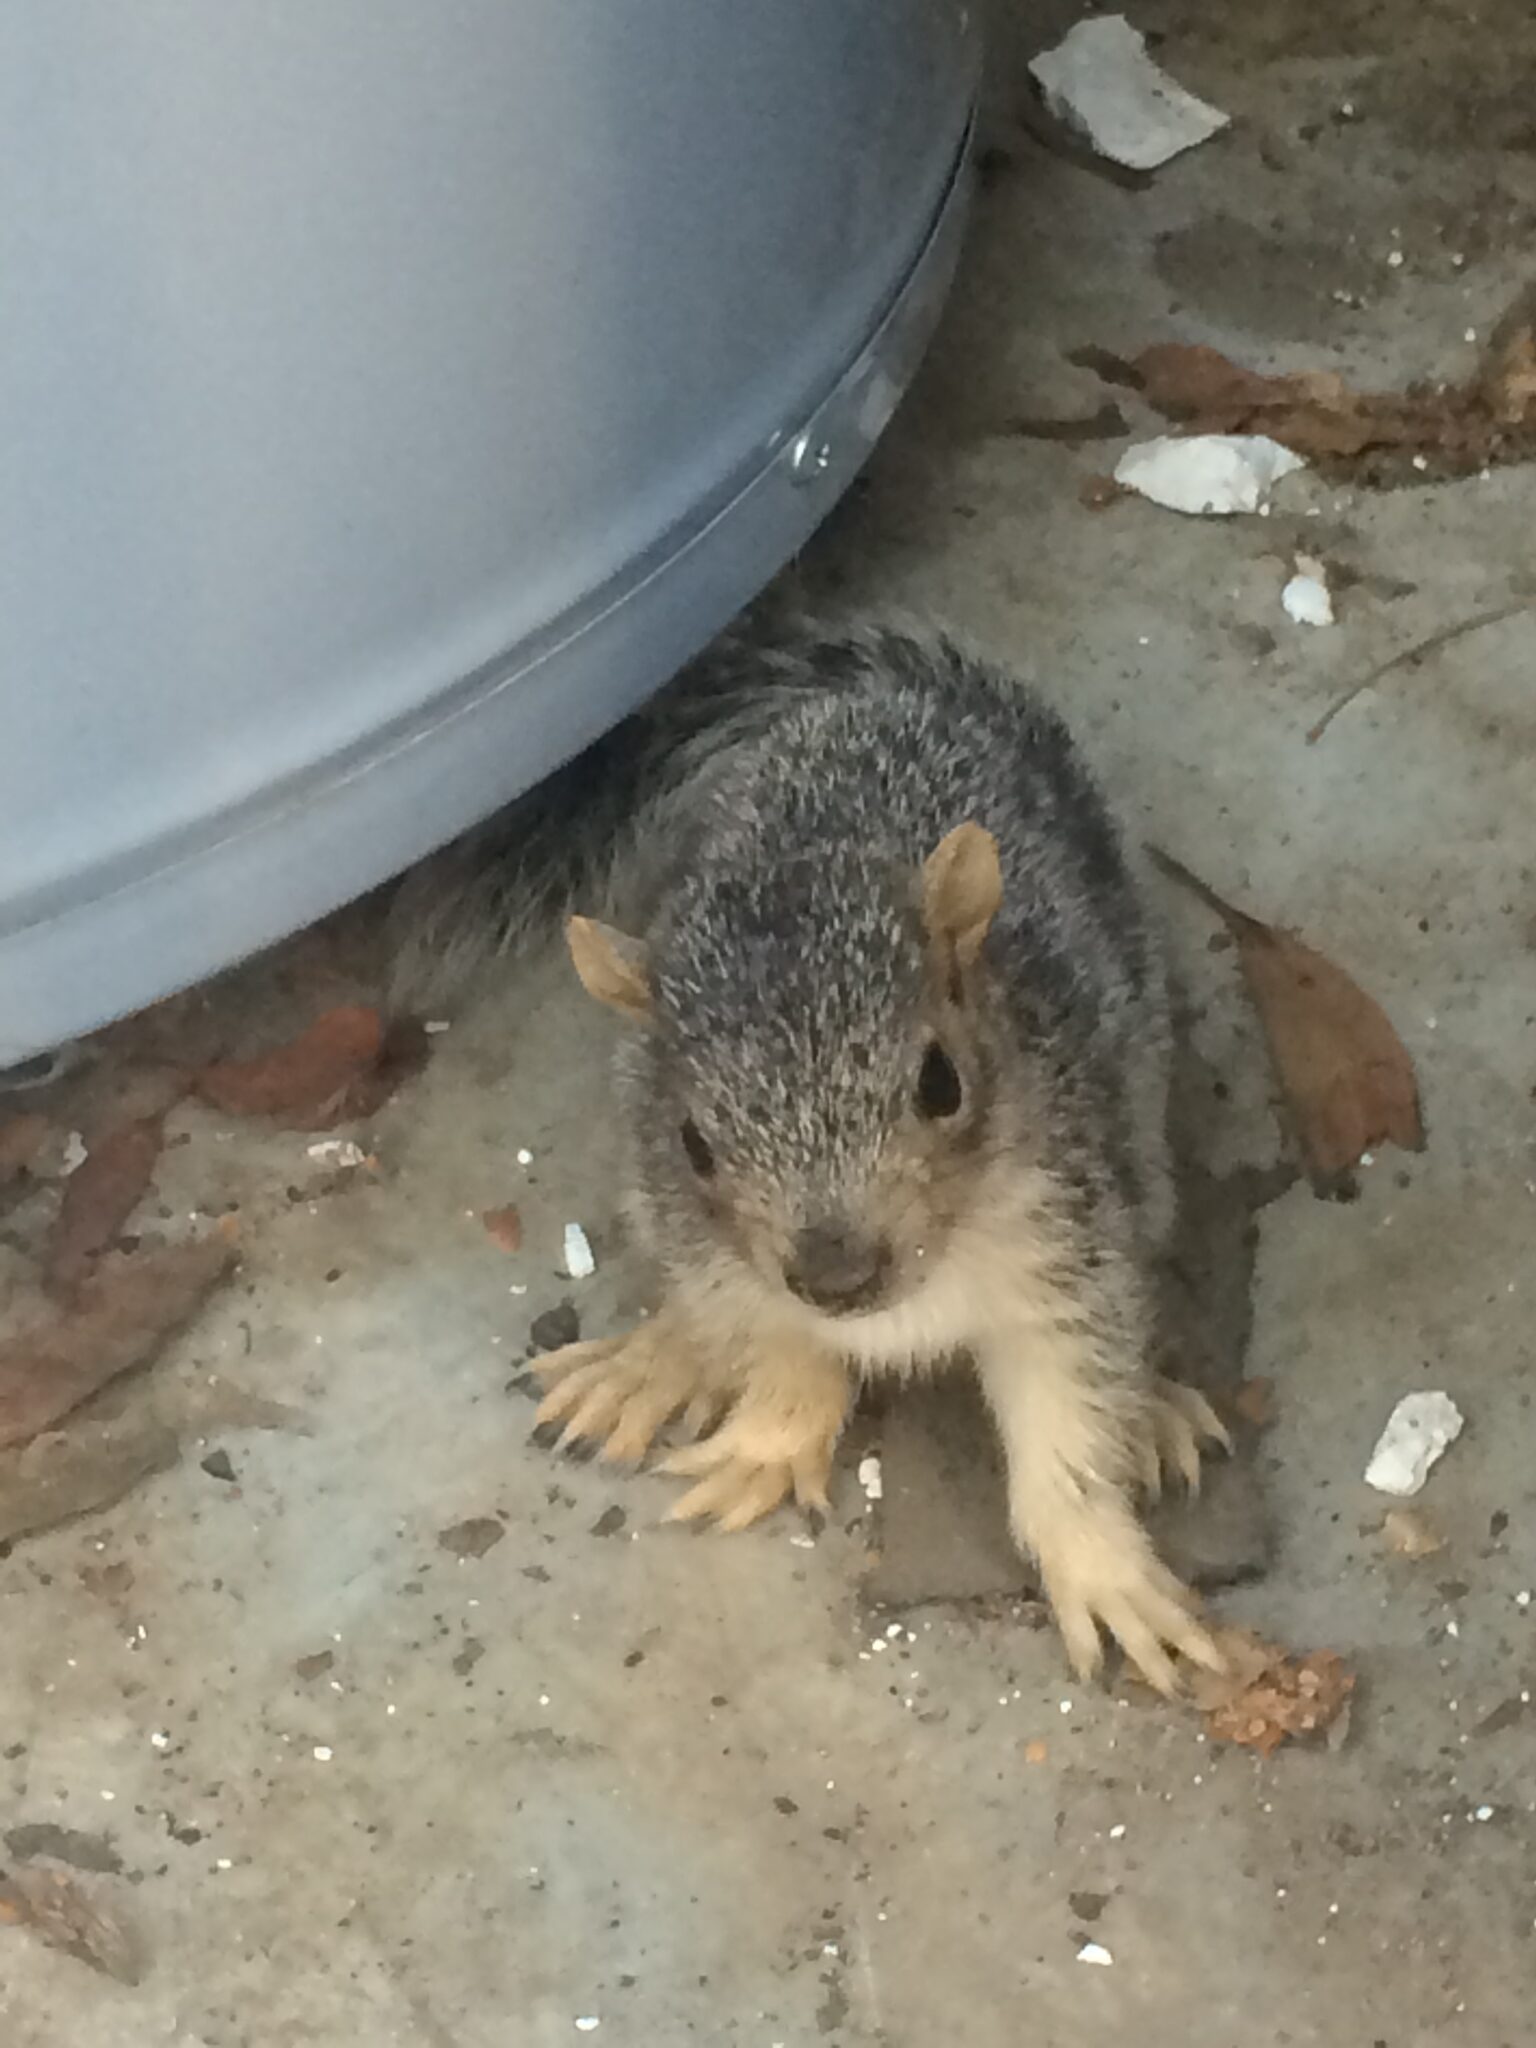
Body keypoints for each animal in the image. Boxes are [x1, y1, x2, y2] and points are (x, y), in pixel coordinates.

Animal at [391, 617, 1230, 1692]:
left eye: (942, 1082)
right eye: (693, 1141)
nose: (837, 1277)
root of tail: (874, 706)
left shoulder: (1067, 1240)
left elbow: (1070, 1422)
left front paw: (1106, 1571)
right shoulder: (722, 1255)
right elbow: (783, 1356)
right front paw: (761, 1445)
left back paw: (1157, 1406)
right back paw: (652, 1363)